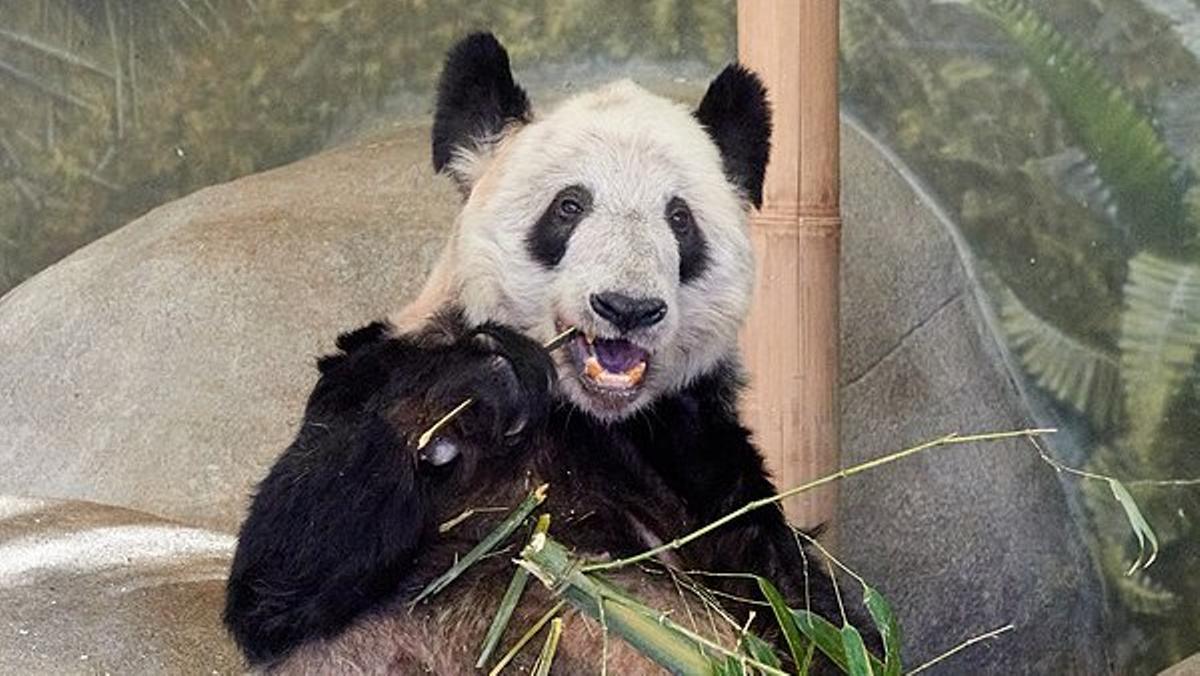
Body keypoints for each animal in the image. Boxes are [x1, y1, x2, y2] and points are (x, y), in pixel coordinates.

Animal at [224, 32, 864, 674]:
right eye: (569, 206)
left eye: (680, 219)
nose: (627, 307)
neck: (580, 413)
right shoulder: (377, 372)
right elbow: (283, 568)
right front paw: (485, 379)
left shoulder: (698, 453)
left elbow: (807, 609)